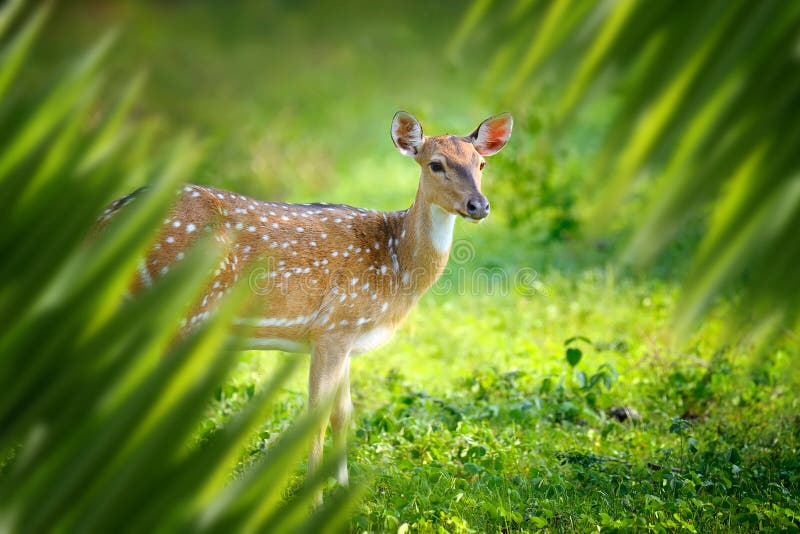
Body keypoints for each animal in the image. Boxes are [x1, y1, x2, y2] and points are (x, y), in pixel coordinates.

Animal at [101, 111, 513, 504]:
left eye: (481, 164)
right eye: (435, 164)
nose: (479, 205)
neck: (396, 265)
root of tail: (105, 218)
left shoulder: (345, 338)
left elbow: (343, 413)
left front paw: (342, 488)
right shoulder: (333, 326)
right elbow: (316, 417)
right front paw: (312, 499)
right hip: (178, 311)